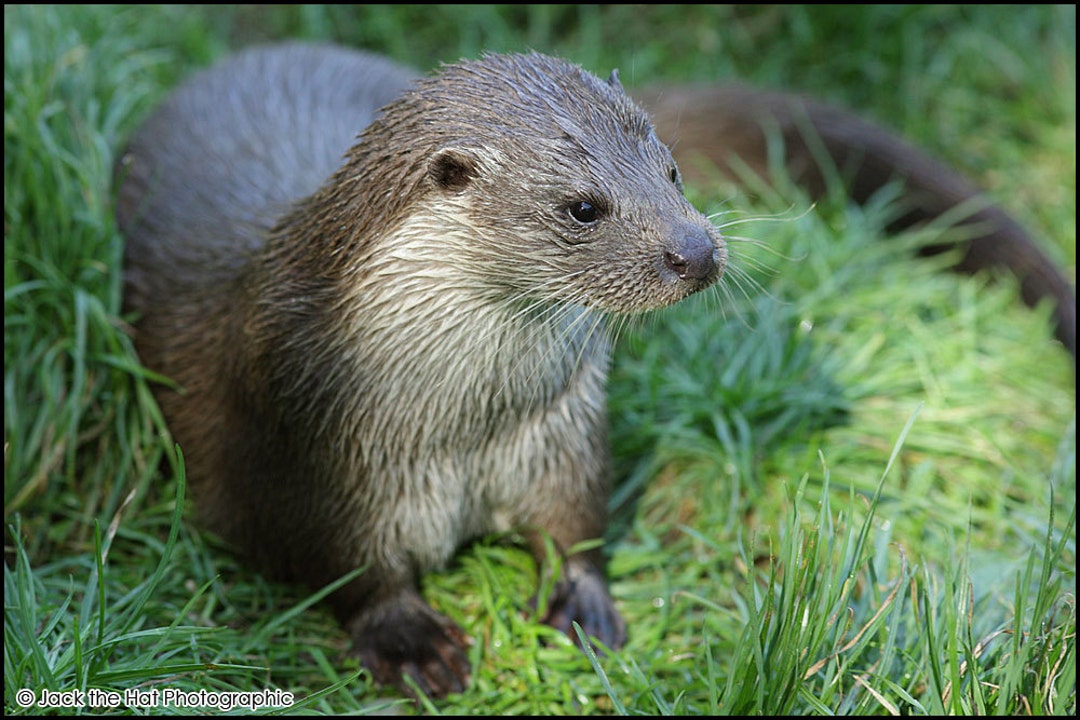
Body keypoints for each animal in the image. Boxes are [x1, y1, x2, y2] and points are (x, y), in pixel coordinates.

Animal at [115, 43, 1075, 699]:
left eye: (672, 170)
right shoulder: (314, 451)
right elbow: (347, 567)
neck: (455, 422)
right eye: (583, 207)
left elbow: (576, 520)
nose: (697, 251)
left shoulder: (563, 427)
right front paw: (410, 643)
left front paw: (581, 605)